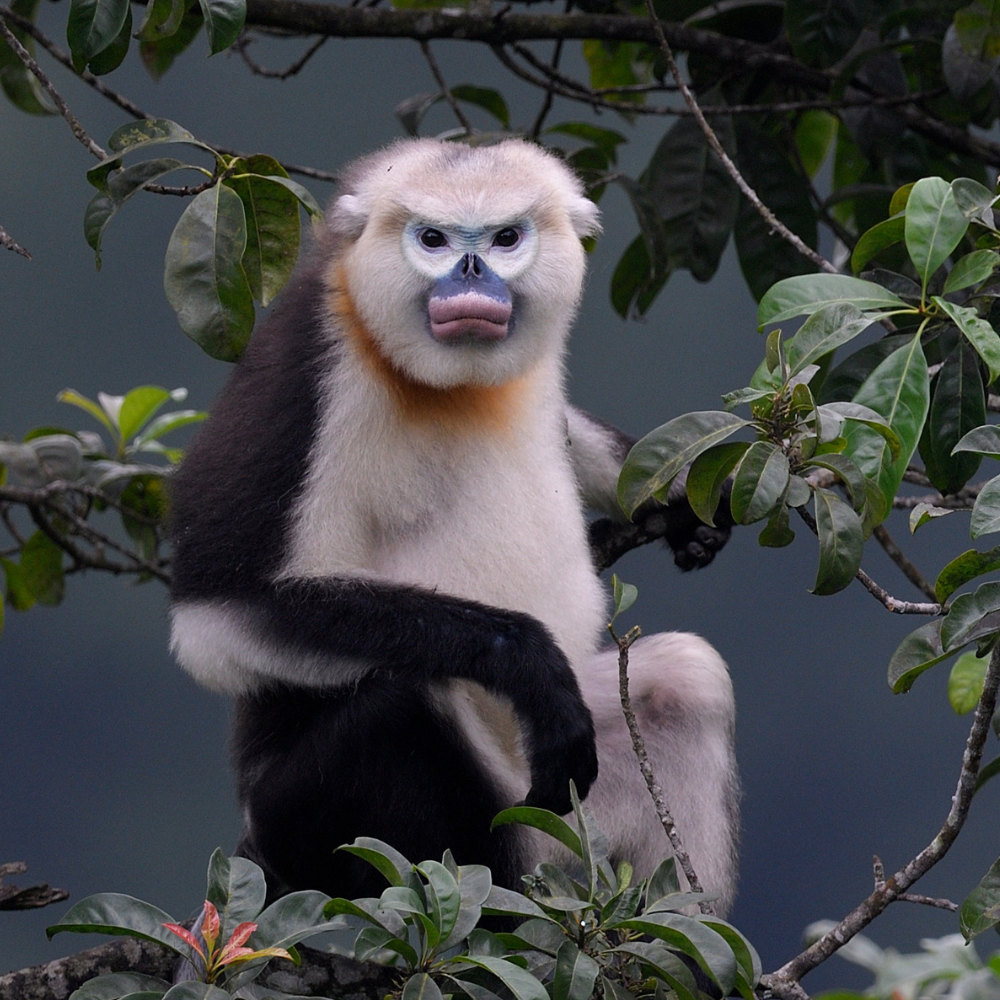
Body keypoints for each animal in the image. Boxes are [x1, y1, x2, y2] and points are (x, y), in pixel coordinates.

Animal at [168, 139, 740, 916]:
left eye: (505, 238)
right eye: (434, 240)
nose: (472, 273)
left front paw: (684, 504)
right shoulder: (304, 360)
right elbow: (218, 610)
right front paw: (525, 661)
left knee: (686, 679)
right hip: (317, 822)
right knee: (404, 701)